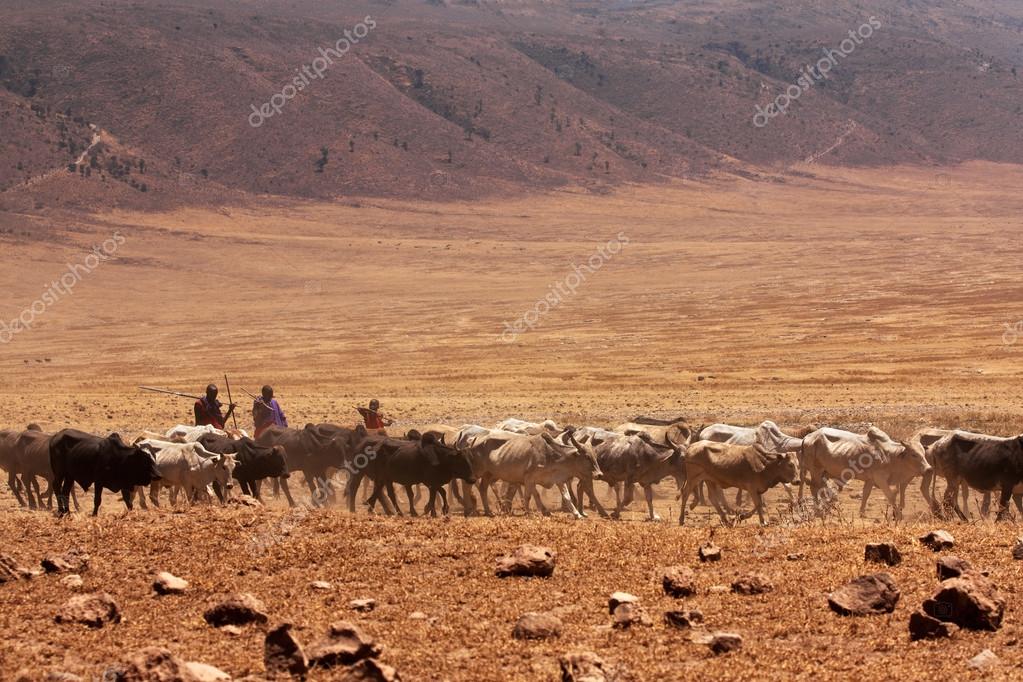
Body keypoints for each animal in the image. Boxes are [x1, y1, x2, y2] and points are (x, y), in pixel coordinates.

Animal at [800, 426, 930, 520]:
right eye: (914, 454)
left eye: (923, 453)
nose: (928, 469)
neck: (891, 456)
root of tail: (807, 437)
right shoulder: (880, 479)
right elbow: (891, 496)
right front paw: (897, 514)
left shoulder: (870, 480)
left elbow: (866, 494)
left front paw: (862, 513)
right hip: (815, 470)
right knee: (813, 488)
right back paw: (819, 511)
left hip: (822, 472)